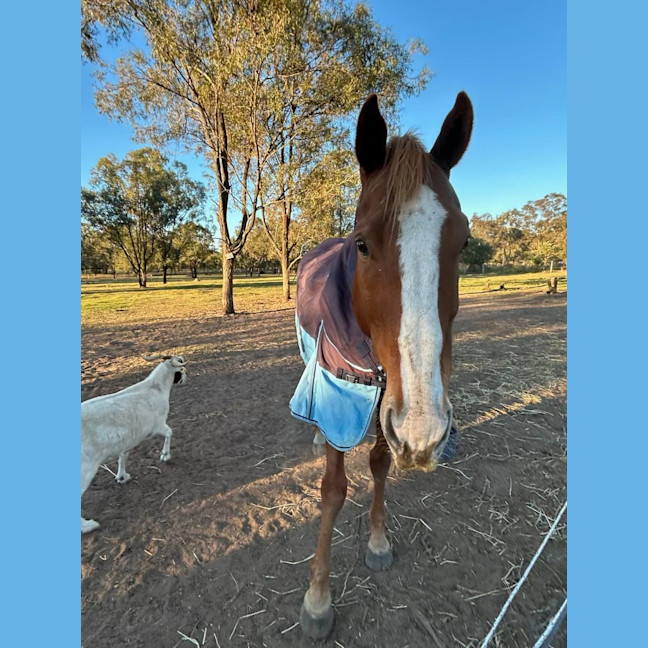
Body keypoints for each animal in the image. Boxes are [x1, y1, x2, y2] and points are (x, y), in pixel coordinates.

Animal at [290, 91, 473, 640]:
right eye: (363, 243)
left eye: (463, 242)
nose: (424, 432)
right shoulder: (341, 398)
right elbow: (333, 490)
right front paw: (318, 599)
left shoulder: (385, 403)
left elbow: (378, 464)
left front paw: (377, 542)